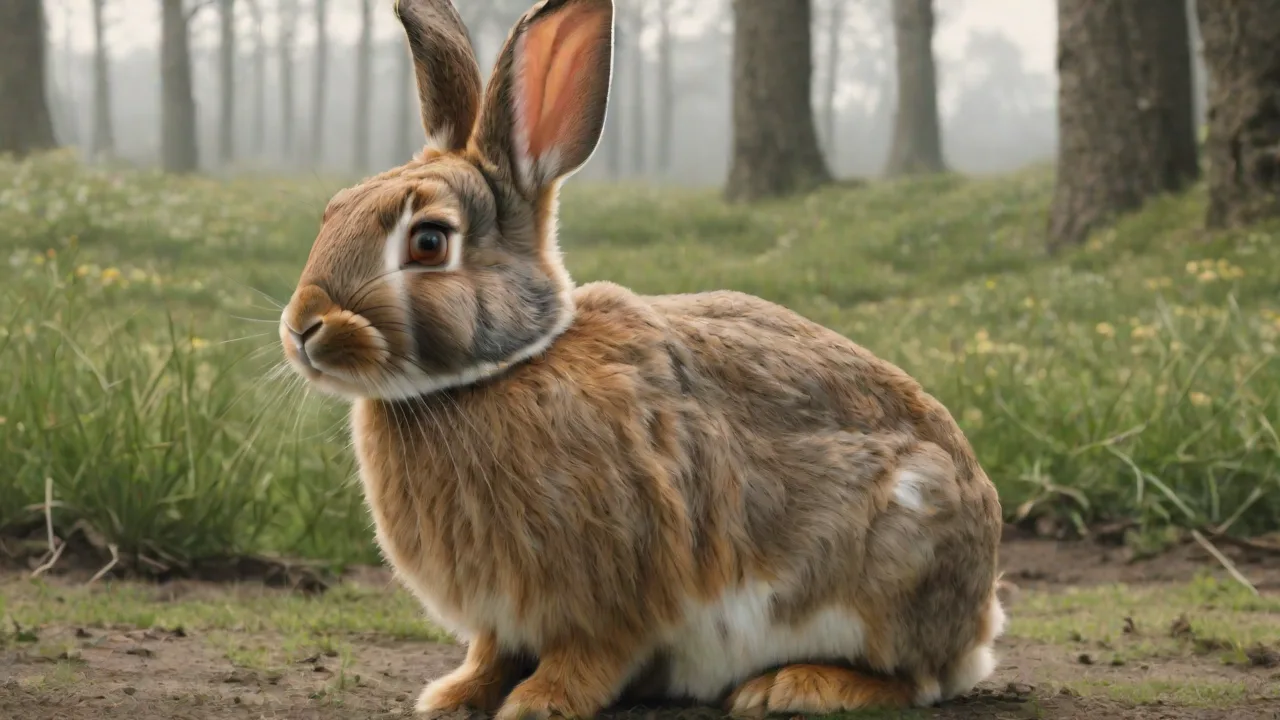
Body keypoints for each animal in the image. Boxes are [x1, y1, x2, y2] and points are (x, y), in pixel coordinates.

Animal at [277, 0, 1006, 718]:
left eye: (428, 241)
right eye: (334, 210)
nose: (302, 327)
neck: (504, 369)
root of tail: (978, 623)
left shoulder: (614, 592)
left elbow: (590, 656)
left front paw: (538, 701)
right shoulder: (501, 619)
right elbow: (490, 654)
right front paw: (452, 696)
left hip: (894, 556)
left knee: (914, 680)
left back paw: (793, 687)